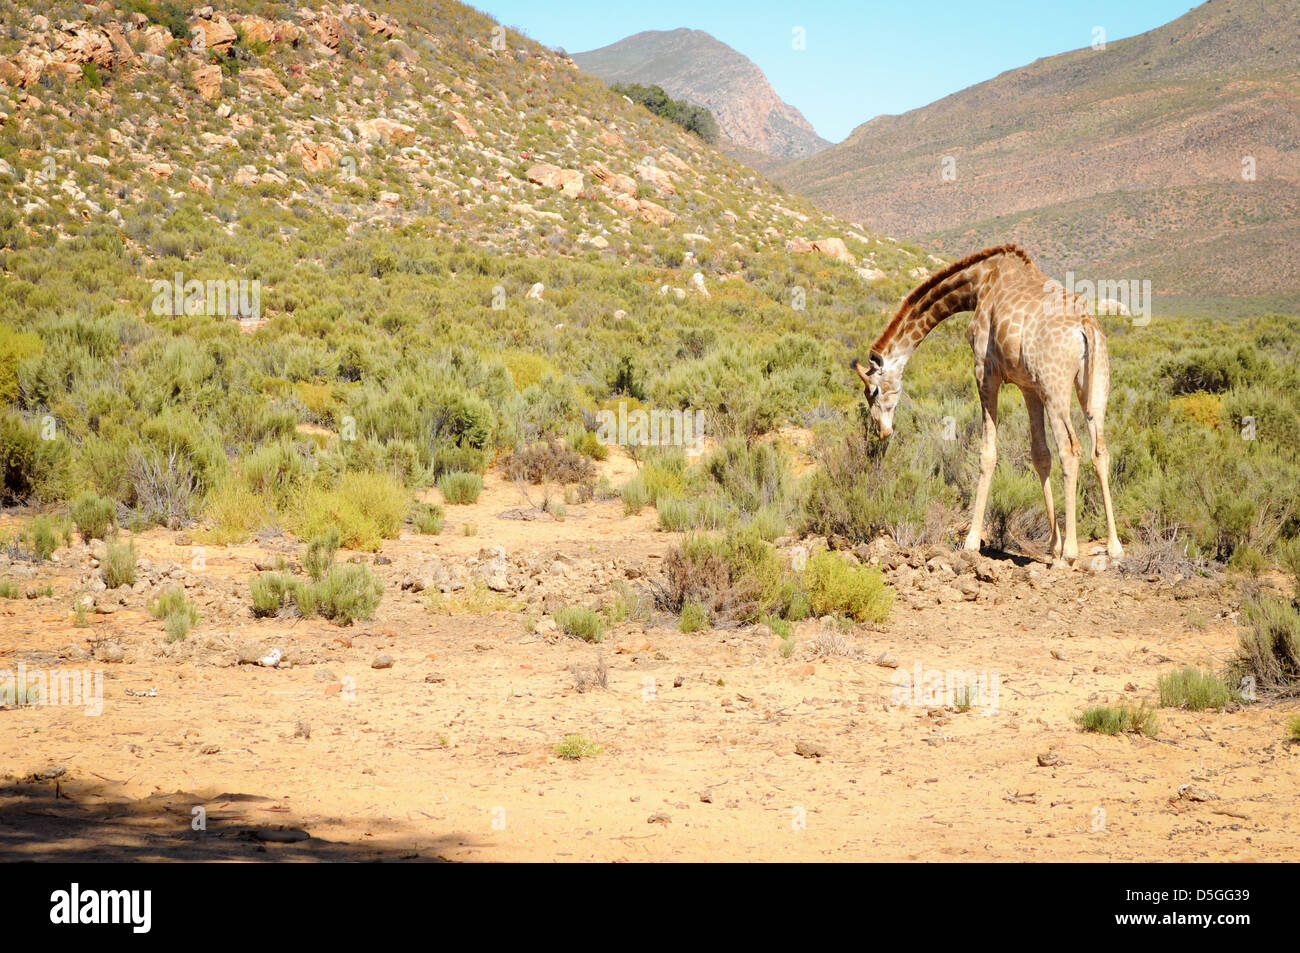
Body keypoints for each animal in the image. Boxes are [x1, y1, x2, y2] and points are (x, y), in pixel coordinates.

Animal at [851, 244, 1123, 565]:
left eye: (873, 391)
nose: (882, 431)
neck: (978, 284)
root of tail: (1085, 327)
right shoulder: (1028, 385)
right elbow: (1040, 455)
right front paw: (1052, 545)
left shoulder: (984, 370)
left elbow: (987, 453)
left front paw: (971, 541)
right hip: (1095, 386)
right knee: (1100, 451)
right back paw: (1114, 547)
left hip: (1055, 387)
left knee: (1070, 449)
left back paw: (1070, 553)